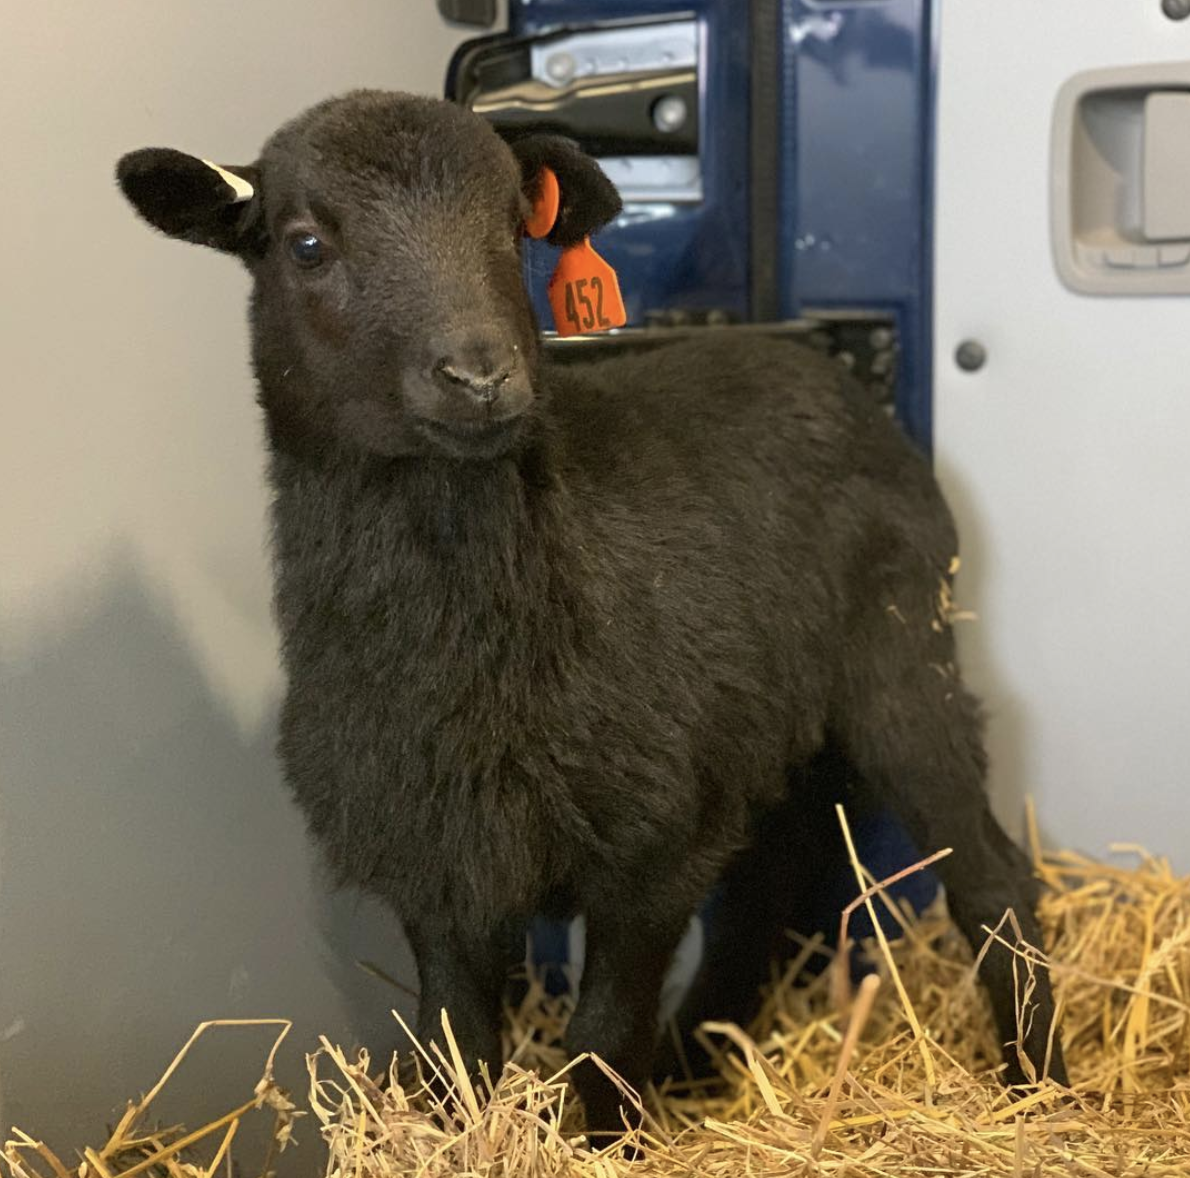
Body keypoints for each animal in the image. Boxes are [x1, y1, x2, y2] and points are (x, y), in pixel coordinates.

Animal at [115, 89, 1066, 1141]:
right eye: (307, 243)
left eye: (508, 227)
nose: (479, 374)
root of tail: (807, 359)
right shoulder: (437, 854)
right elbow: (454, 1043)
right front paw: (468, 1129)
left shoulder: (655, 845)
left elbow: (603, 1035)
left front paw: (612, 1137)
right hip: (759, 714)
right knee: (770, 884)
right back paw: (699, 1059)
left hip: (903, 643)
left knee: (988, 871)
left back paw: (1039, 1087)